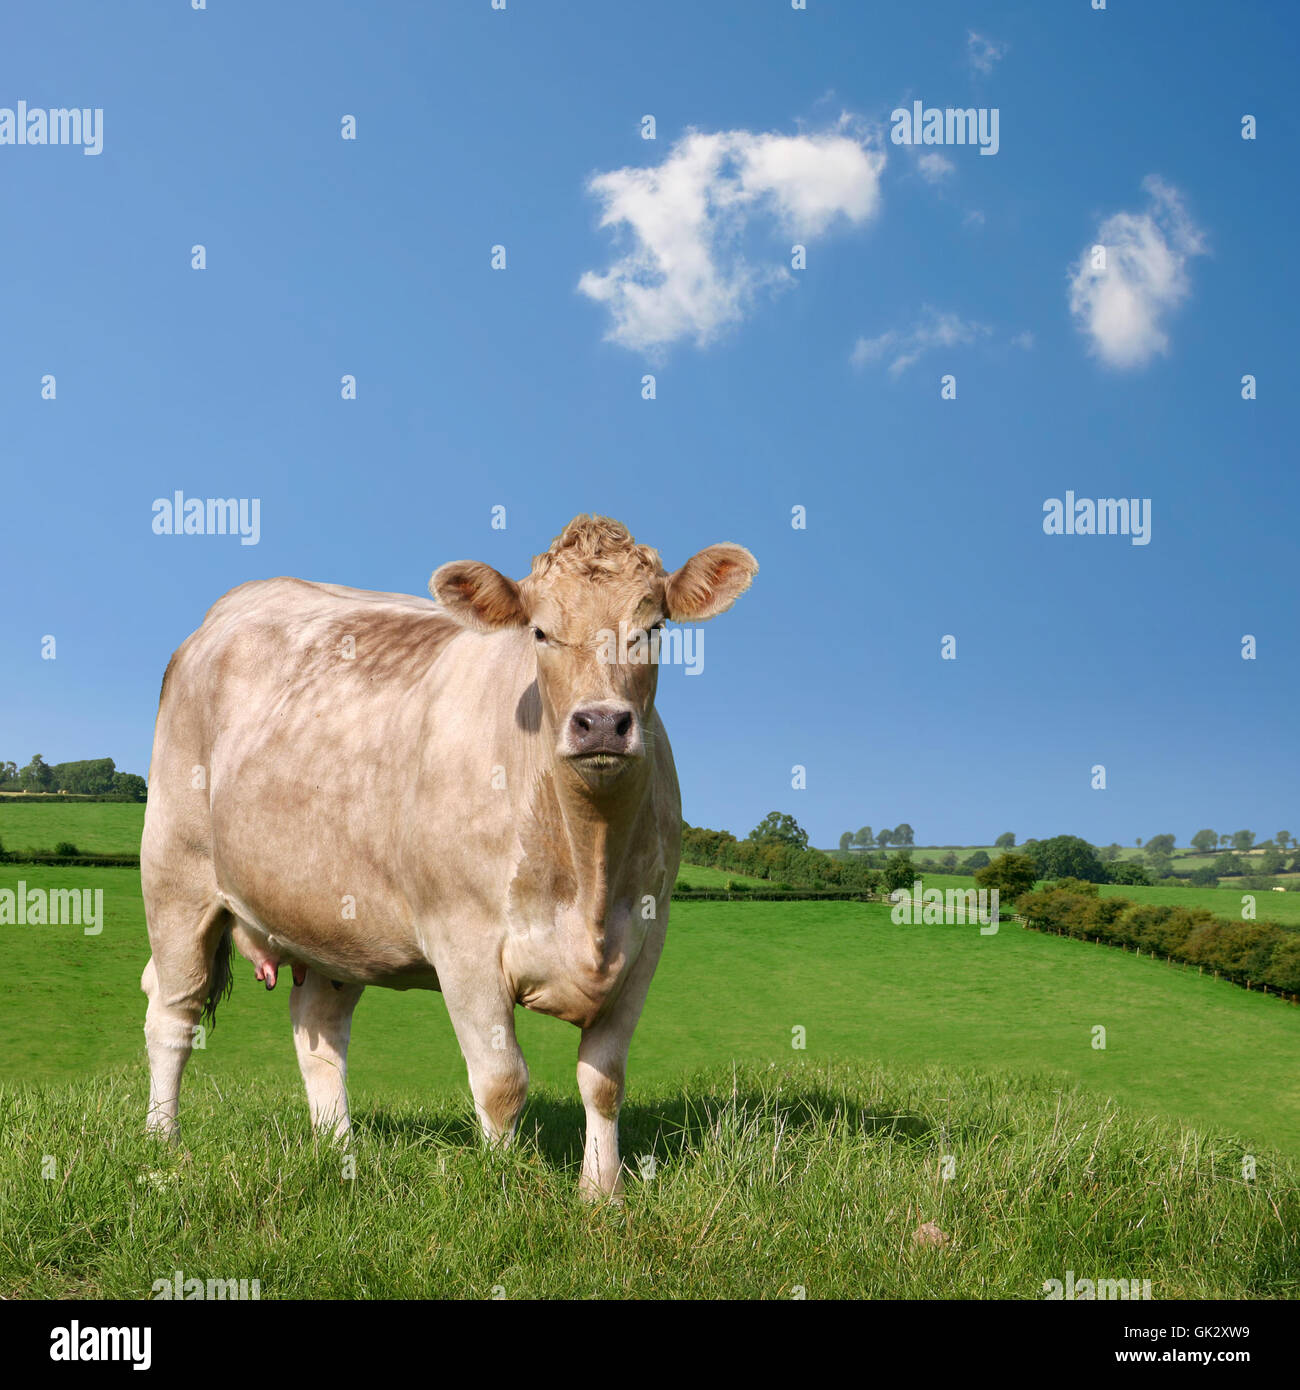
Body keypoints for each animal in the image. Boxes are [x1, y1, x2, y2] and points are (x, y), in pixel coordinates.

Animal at [140, 515, 757, 1198]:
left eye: (652, 630)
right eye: (539, 631)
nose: (600, 723)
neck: (587, 861)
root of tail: (235, 603)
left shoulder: (645, 941)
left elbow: (604, 1081)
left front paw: (603, 1193)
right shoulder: (464, 942)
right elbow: (502, 1082)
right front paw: (503, 1190)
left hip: (332, 920)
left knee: (318, 1029)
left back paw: (340, 1153)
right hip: (176, 874)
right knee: (172, 1012)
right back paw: (163, 1145)